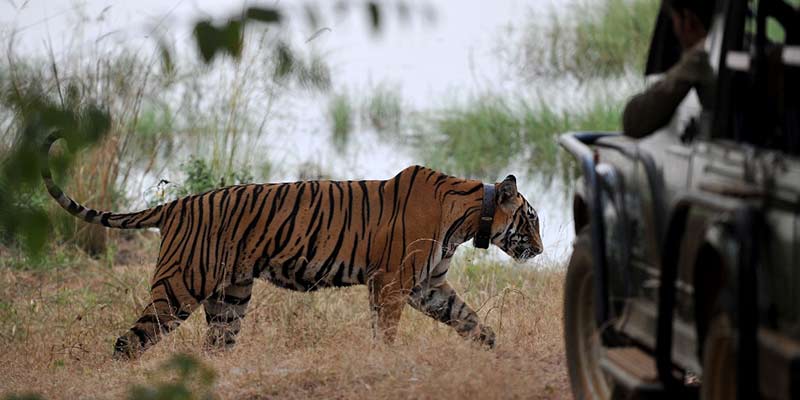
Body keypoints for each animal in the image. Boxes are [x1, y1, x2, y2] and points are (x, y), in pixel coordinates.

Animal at [41, 133, 543, 359]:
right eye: (532, 219)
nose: (539, 250)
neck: (470, 217)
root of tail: (177, 203)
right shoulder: (393, 283)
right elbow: (386, 331)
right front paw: (385, 362)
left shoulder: (428, 287)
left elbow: (470, 319)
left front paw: (497, 351)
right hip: (180, 286)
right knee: (128, 342)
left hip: (230, 297)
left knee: (214, 346)